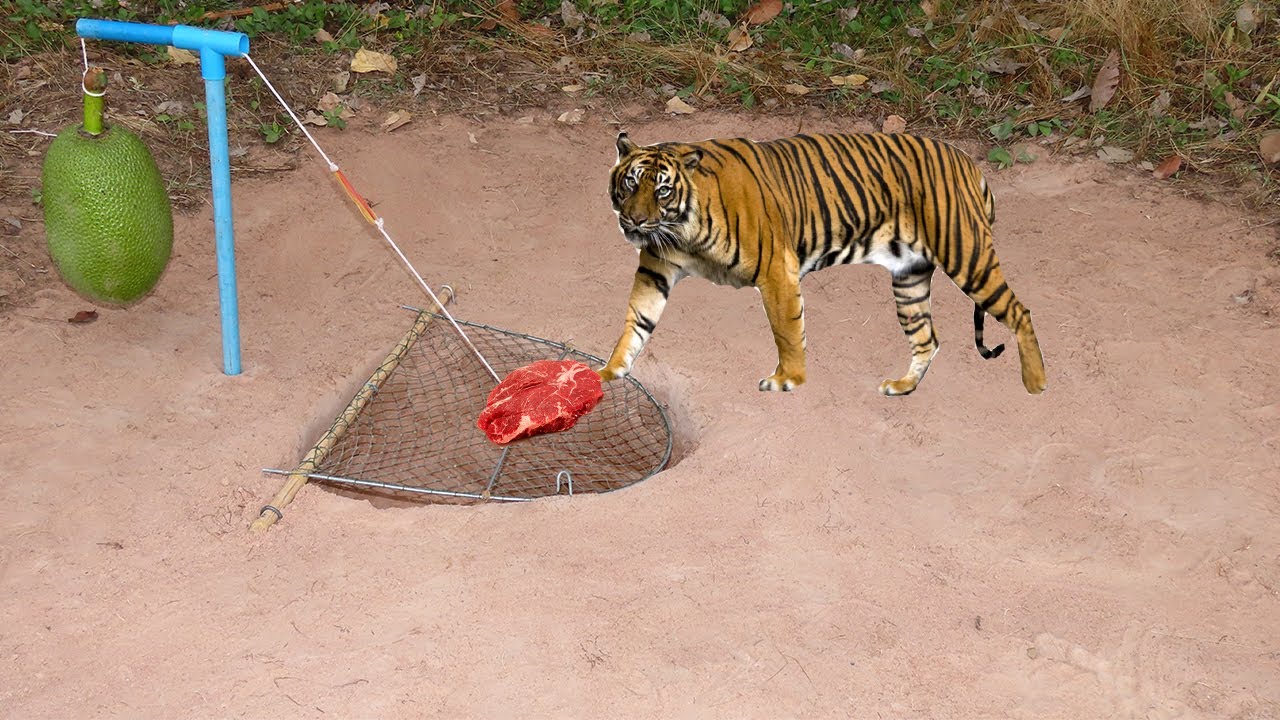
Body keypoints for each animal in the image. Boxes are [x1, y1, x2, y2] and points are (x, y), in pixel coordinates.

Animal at [596, 130, 1046, 396]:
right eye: (631, 183)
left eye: (663, 190)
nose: (635, 220)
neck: (682, 232)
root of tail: (969, 163)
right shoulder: (655, 270)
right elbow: (636, 322)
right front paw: (608, 372)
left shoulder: (776, 270)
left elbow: (787, 330)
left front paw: (788, 379)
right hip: (910, 277)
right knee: (928, 338)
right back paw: (902, 386)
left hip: (966, 256)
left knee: (1020, 311)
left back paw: (1036, 382)